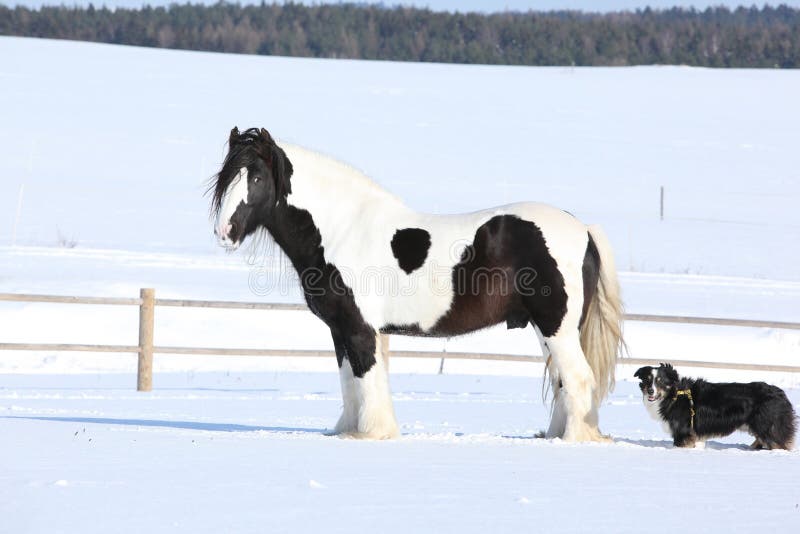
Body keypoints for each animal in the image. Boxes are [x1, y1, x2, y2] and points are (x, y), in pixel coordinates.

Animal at [209, 127, 624, 442]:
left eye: (257, 178)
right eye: (225, 179)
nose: (225, 232)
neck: (344, 229)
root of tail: (583, 229)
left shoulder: (360, 330)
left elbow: (366, 380)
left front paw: (373, 433)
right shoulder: (342, 330)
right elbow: (350, 383)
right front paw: (349, 430)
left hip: (557, 327)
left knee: (577, 377)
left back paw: (572, 440)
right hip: (547, 328)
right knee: (561, 379)